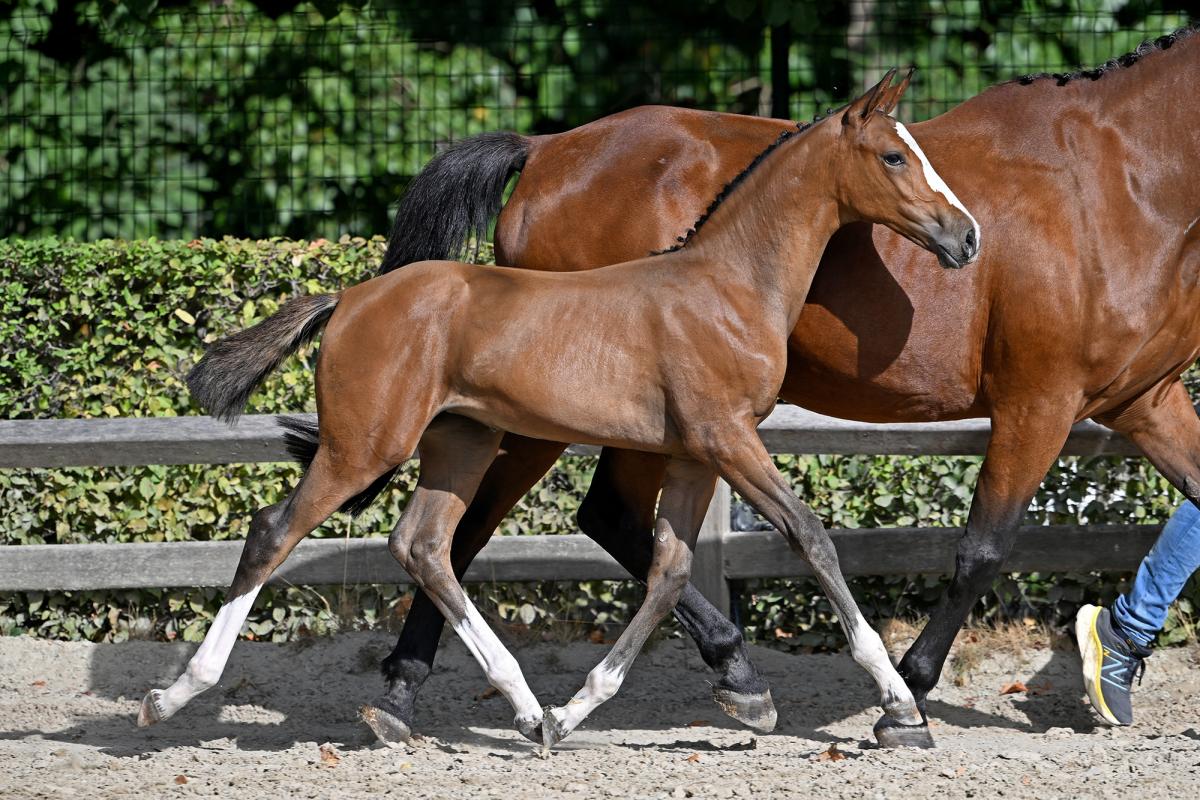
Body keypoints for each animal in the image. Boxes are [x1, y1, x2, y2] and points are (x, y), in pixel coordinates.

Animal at [137, 73, 978, 750]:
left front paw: (584, 711)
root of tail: (347, 298)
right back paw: (171, 697)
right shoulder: (728, 438)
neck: (728, 285)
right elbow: (811, 537)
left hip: (463, 443)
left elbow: (669, 570)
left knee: (424, 545)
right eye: (895, 156)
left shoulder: (693, 453)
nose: (966, 237)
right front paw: (900, 704)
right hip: (363, 446)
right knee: (274, 532)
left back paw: (524, 708)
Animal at [366, 24, 1200, 746]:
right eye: (894, 160)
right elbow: (982, 549)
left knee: (603, 520)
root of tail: (545, 150)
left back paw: (734, 675)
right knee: (472, 528)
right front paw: (906, 695)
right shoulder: (1038, 402)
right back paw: (407, 693)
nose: (967, 240)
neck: (1117, 182)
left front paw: (1110, 672)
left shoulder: (1146, 401)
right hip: (548, 413)